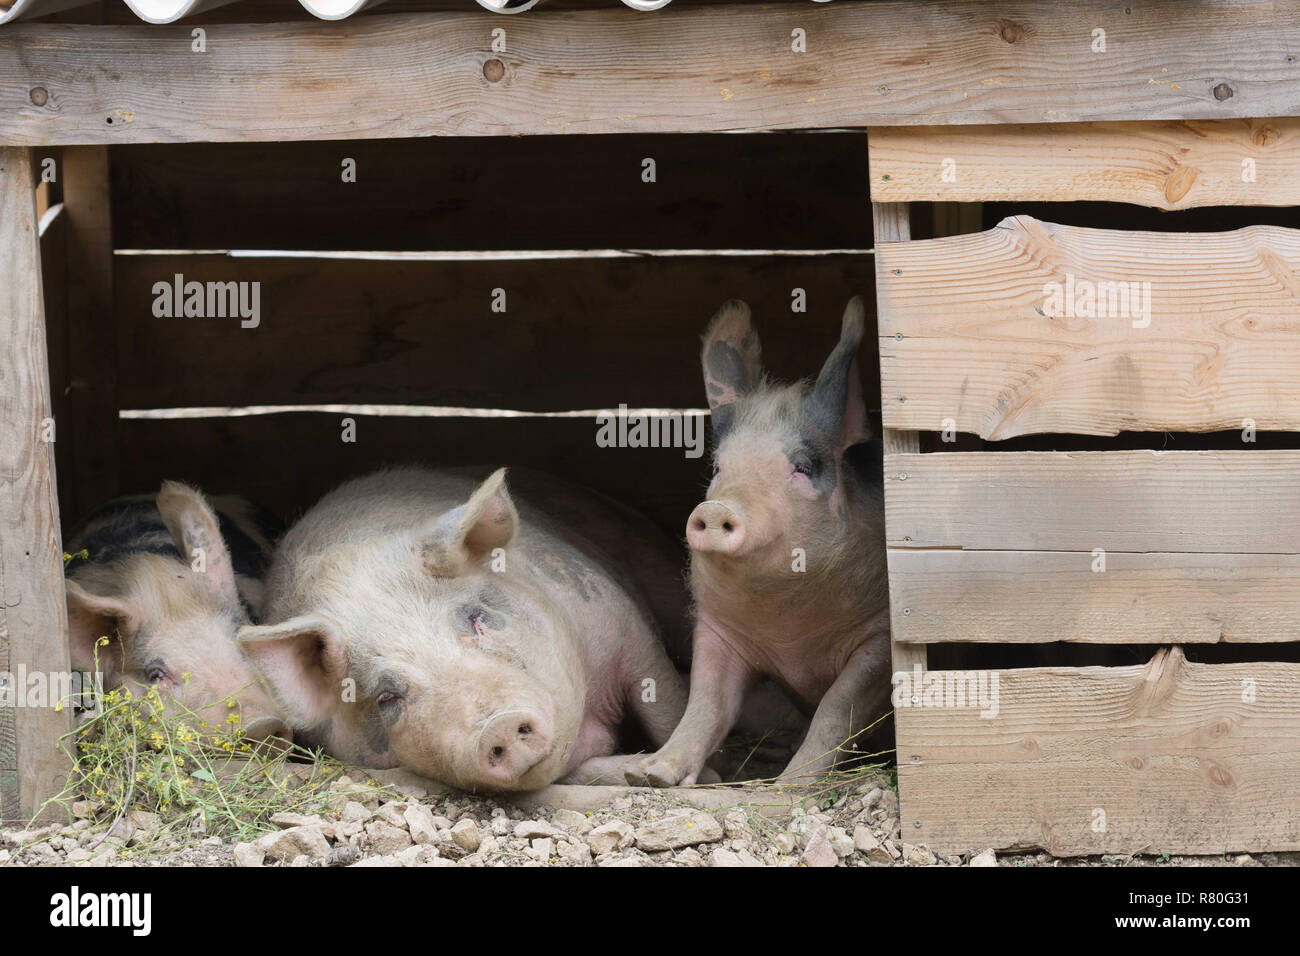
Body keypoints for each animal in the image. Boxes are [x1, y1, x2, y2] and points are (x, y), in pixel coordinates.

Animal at [235, 467, 690, 792]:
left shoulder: (624, 626)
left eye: (476, 616)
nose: (499, 724)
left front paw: (670, 771)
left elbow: (666, 706)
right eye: (387, 696)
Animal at [627, 297, 891, 786]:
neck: (790, 635)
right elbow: (706, 702)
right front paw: (650, 774)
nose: (716, 509)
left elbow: (837, 707)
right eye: (717, 468)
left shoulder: (879, 639)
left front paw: (789, 785)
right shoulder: (717, 630)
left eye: (802, 467)